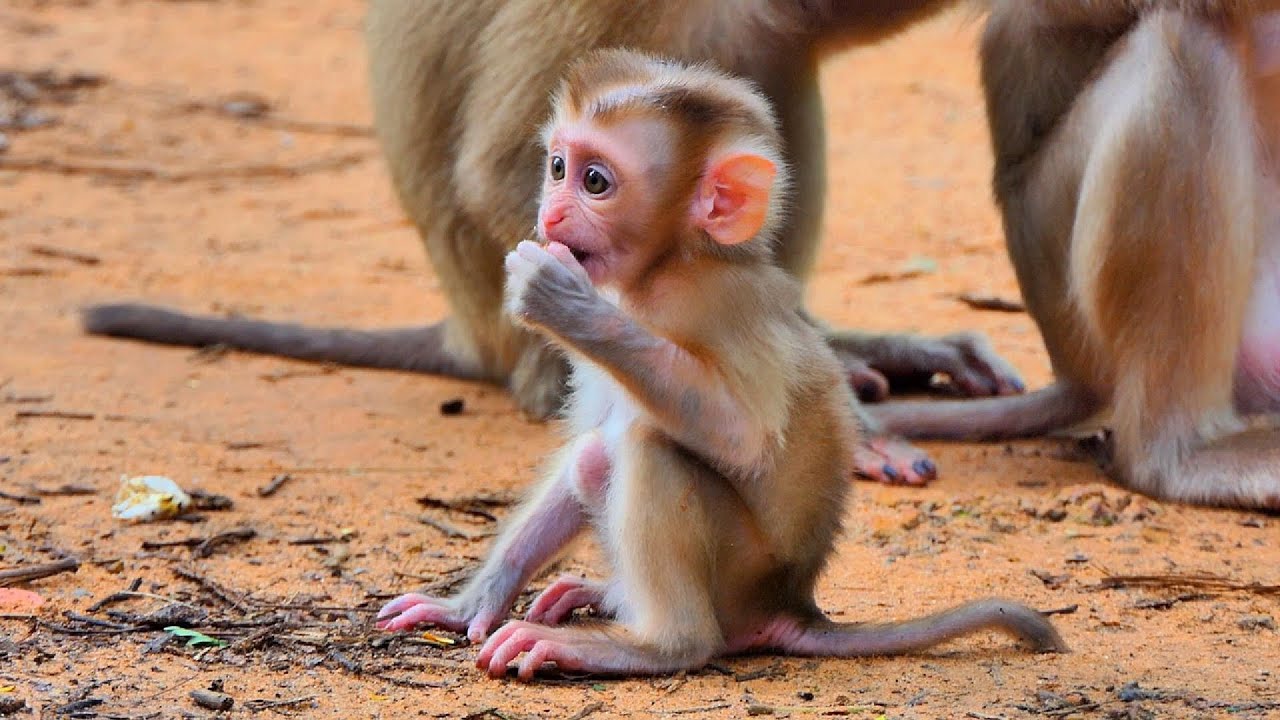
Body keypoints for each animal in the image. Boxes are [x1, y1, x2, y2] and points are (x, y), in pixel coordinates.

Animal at [374, 49, 1065, 680]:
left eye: (594, 181)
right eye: (557, 167)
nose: (550, 214)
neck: (664, 269)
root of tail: (790, 603)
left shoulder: (717, 305)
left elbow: (743, 437)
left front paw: (560, 300)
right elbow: (585, 444)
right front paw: (467, 606)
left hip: (737, 575)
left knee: (649, 445)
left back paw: (656, 646)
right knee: (598, 455)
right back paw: (611, 599)